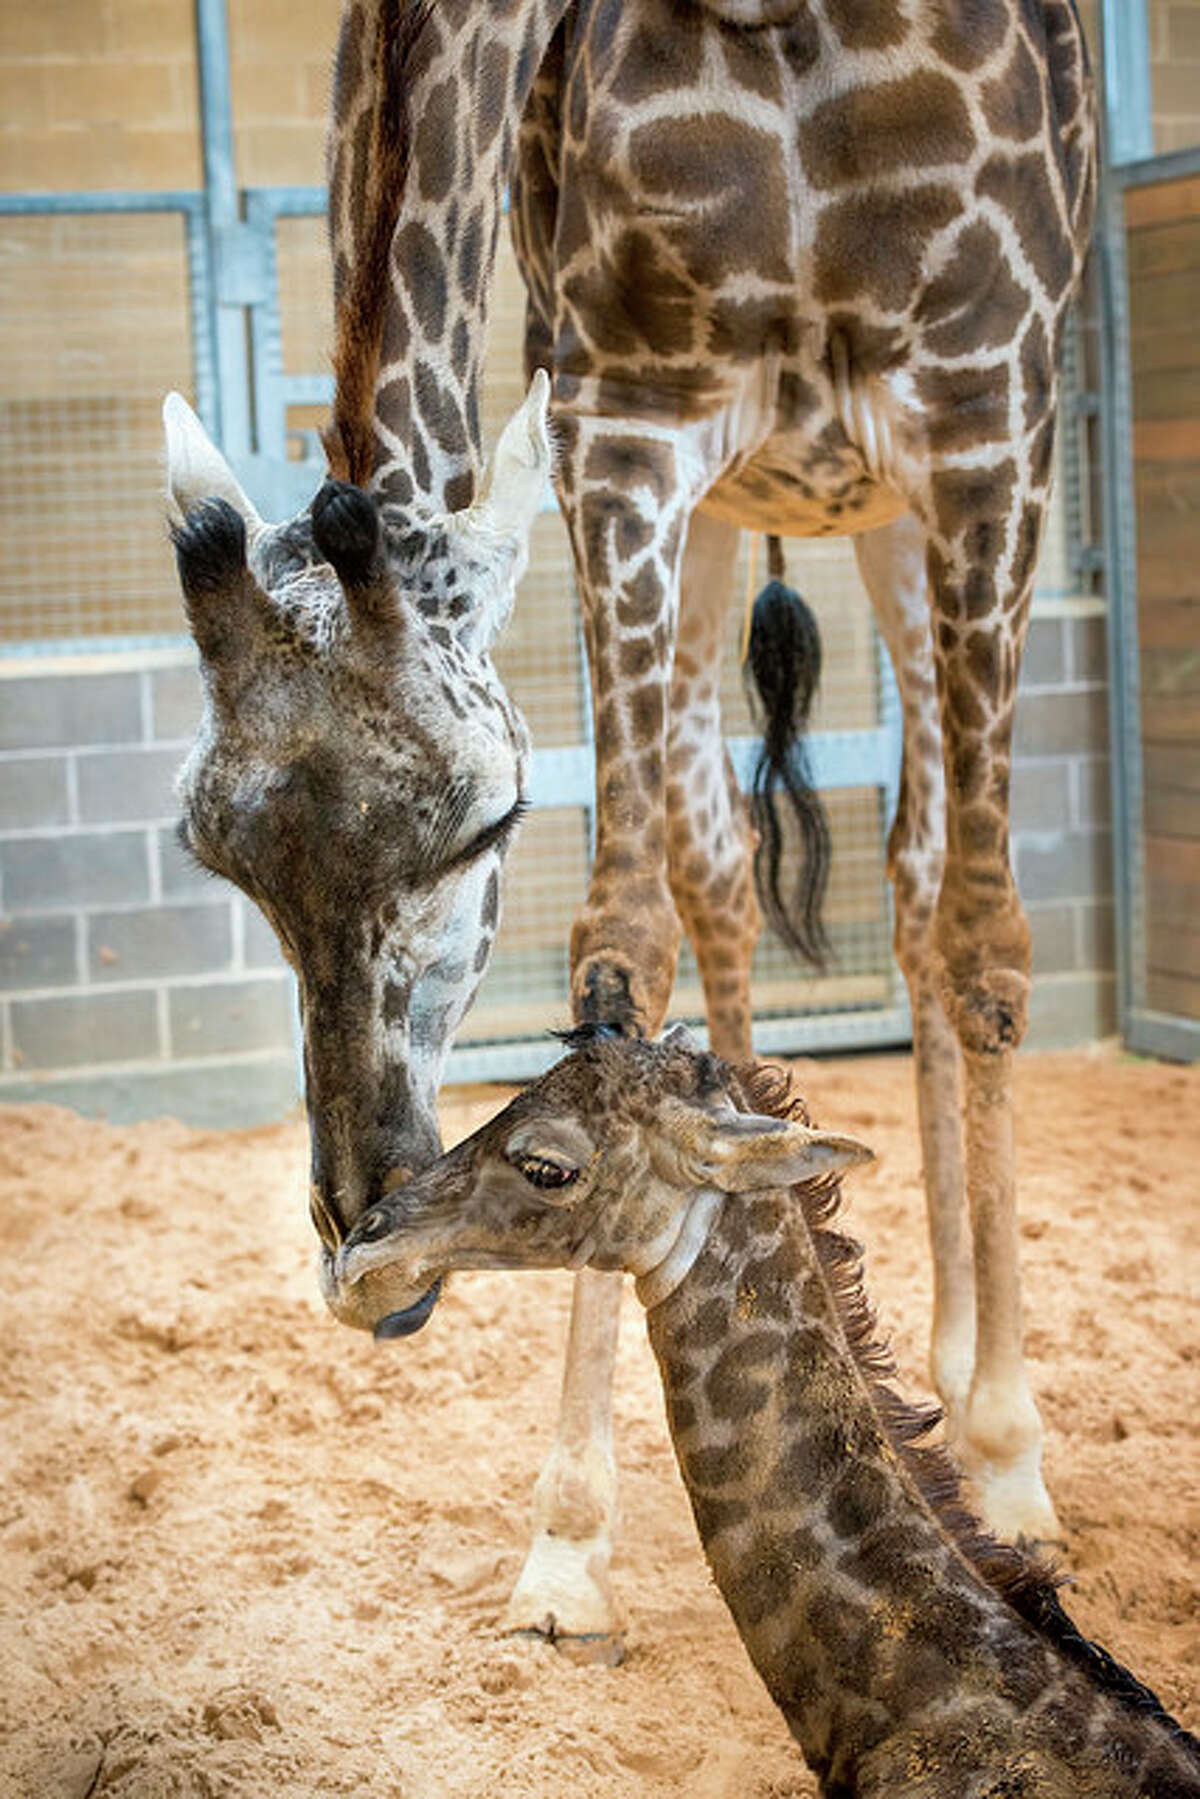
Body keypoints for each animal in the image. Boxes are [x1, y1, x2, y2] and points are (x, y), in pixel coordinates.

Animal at [163, 0, 1097, 1651]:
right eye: (219, 856)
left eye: (487, 825)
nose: (365, 1236)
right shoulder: (629, 424)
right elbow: (624, 949)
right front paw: (566, 1543)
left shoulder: (986, 400)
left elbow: (988, 936)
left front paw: (1008, 1465)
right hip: (745, 505)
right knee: (730, 868)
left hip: (906, 511)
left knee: (930, 885)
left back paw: (967, 1373)